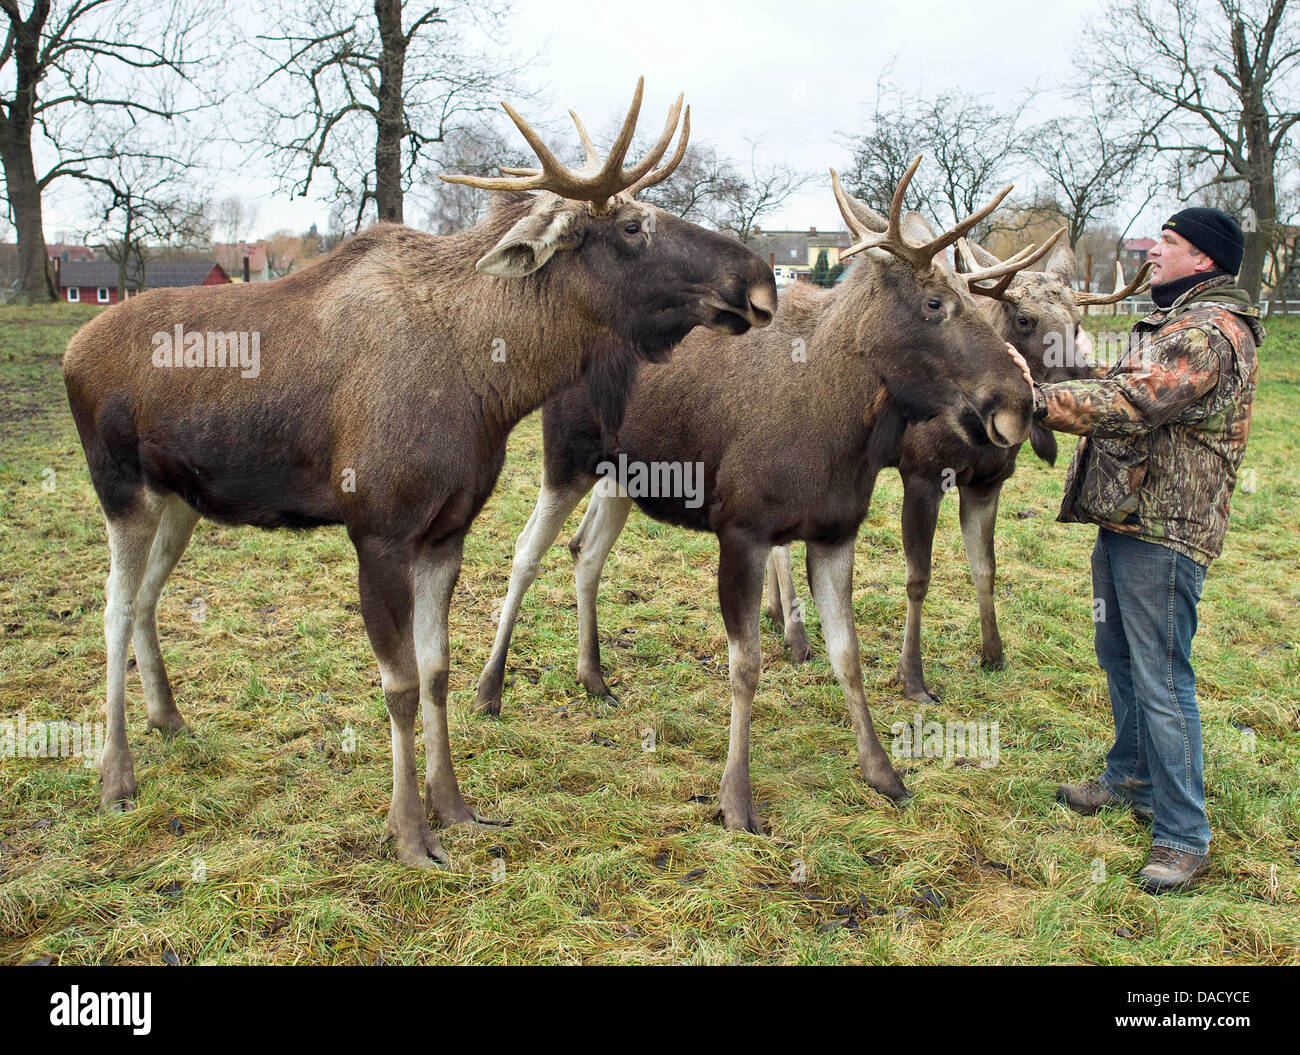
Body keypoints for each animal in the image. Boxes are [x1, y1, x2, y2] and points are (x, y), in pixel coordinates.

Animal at [61, 79, 778, 868]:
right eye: (629, 227)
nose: (760, 280)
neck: (490, 383)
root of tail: (70, 351)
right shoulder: (377, 530)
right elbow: (399, 686)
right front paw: (410, 832)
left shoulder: (446, 530)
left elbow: (437, 673)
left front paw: (456, 807)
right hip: (120, 489)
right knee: (112, 608)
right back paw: (116, 776)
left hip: (181, 499)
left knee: (147, 599)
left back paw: (169, 718)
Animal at [472, 157, 1050, 832]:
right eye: (936, 301)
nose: (1021, 400)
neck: (842, 428)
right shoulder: (742, 529)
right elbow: (745, 666)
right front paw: (735, 799)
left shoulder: (835, 532)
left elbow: (848, 654)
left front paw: (884, 774)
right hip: (567, 458)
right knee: (524, 553)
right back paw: (489, 689)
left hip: (623, 474)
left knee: (586, 553)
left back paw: (594, 677)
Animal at [764, 244, 1152, 702]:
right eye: (1025, 319)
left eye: (1077, 322)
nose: (1080, 375)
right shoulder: (923, 473)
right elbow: (918, 577)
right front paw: (912, 678)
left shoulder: (988, 482)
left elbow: (985, 566)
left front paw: (993, 654)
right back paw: (797, 637)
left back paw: (775, 612)